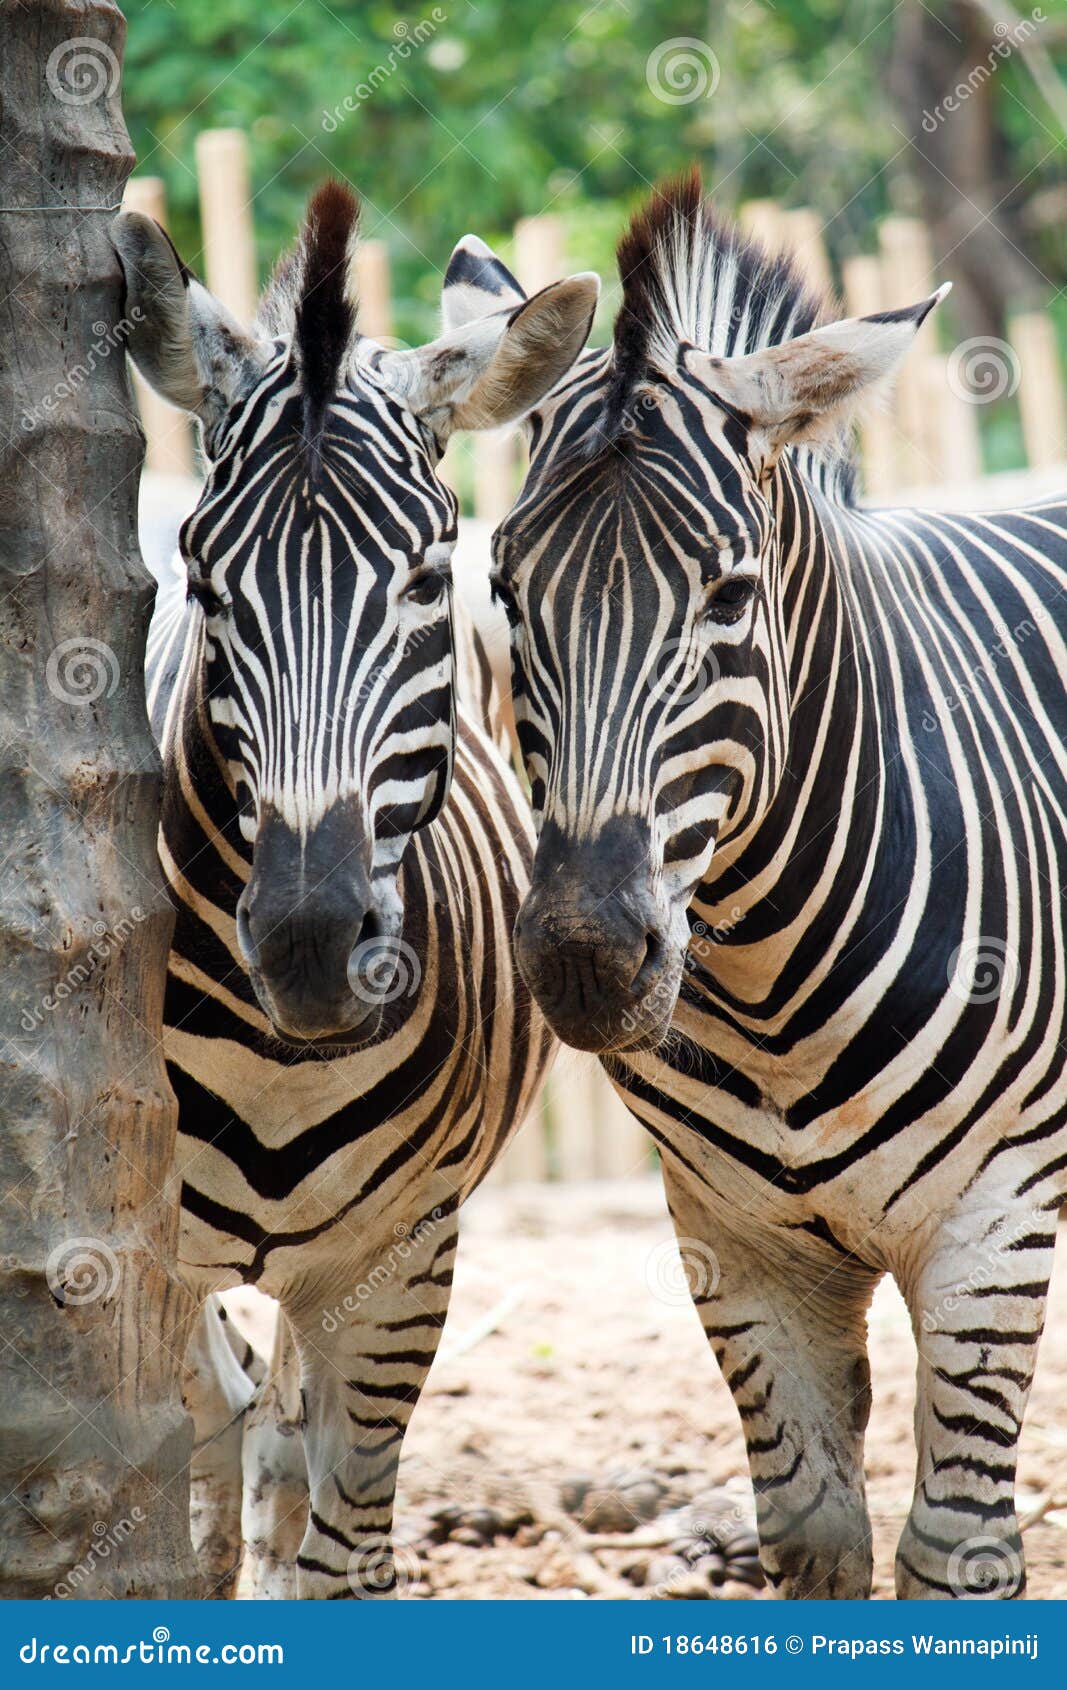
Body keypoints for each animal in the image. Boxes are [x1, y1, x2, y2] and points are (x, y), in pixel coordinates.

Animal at [113, 182, 597, 1597]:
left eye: (427, 579)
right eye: (203, 585)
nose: (312, 948)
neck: (285, 1071)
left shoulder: (401, 1263)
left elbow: (342, 1546)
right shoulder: (140, 1250)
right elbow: (197, 1452)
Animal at [473, 169, 1067, 1600]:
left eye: (727, 595)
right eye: (505, 590)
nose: (584, 956)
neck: (766, 977)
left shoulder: (991, 1226)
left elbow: (955, 1550)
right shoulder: (734, 1246)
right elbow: (811, 1532)